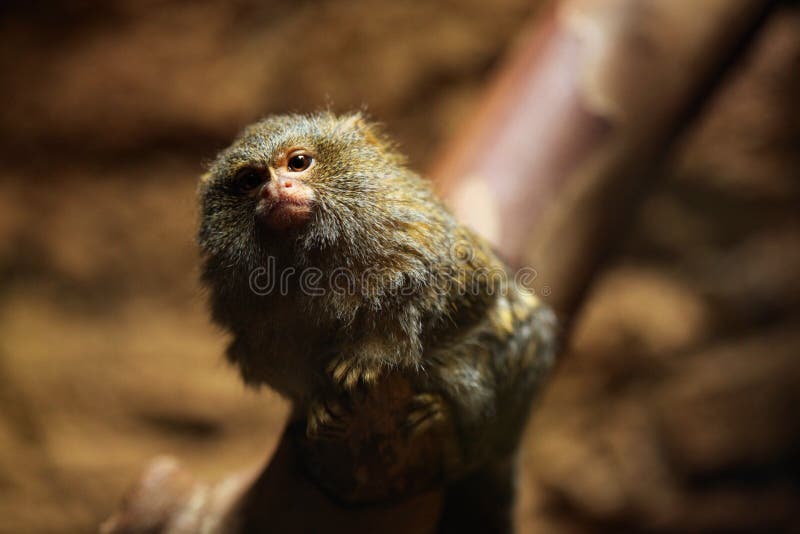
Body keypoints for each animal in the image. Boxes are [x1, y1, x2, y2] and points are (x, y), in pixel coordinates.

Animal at [197, 112, 556, 527]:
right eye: (251, 181)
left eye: (298, 163)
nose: (276, 189)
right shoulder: (248, 322)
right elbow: (279, 363)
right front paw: (317, 399)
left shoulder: (430, 246)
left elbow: (465, 297)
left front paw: (368, 355)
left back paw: (451, 436)